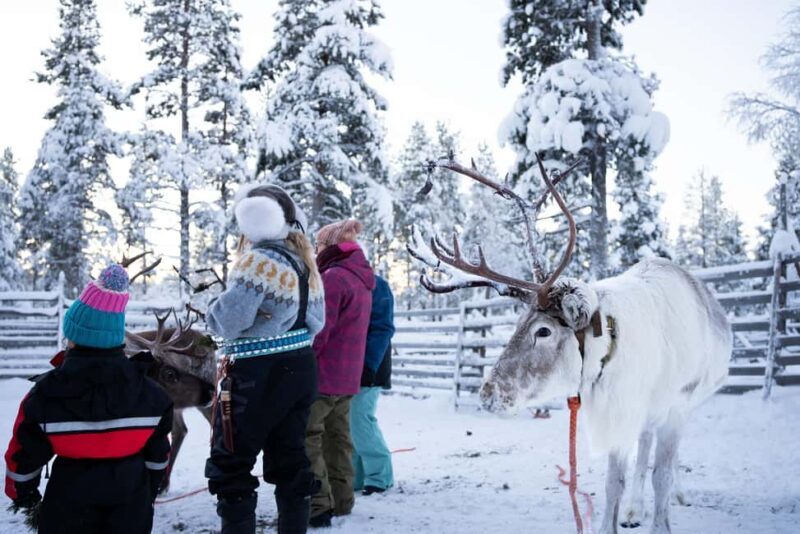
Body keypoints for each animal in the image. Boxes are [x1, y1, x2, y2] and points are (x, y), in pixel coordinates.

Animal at [409, 155, 732, 534]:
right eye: (519, 322)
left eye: (543, 331)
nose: (488, 393)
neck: (614, 347)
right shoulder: (619, 412)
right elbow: (614, 484)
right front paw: (617, 517)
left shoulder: (675, 406)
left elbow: (662, 478)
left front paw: (664, 513)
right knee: (644, 448)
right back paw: (634, 509)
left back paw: (677, 494)